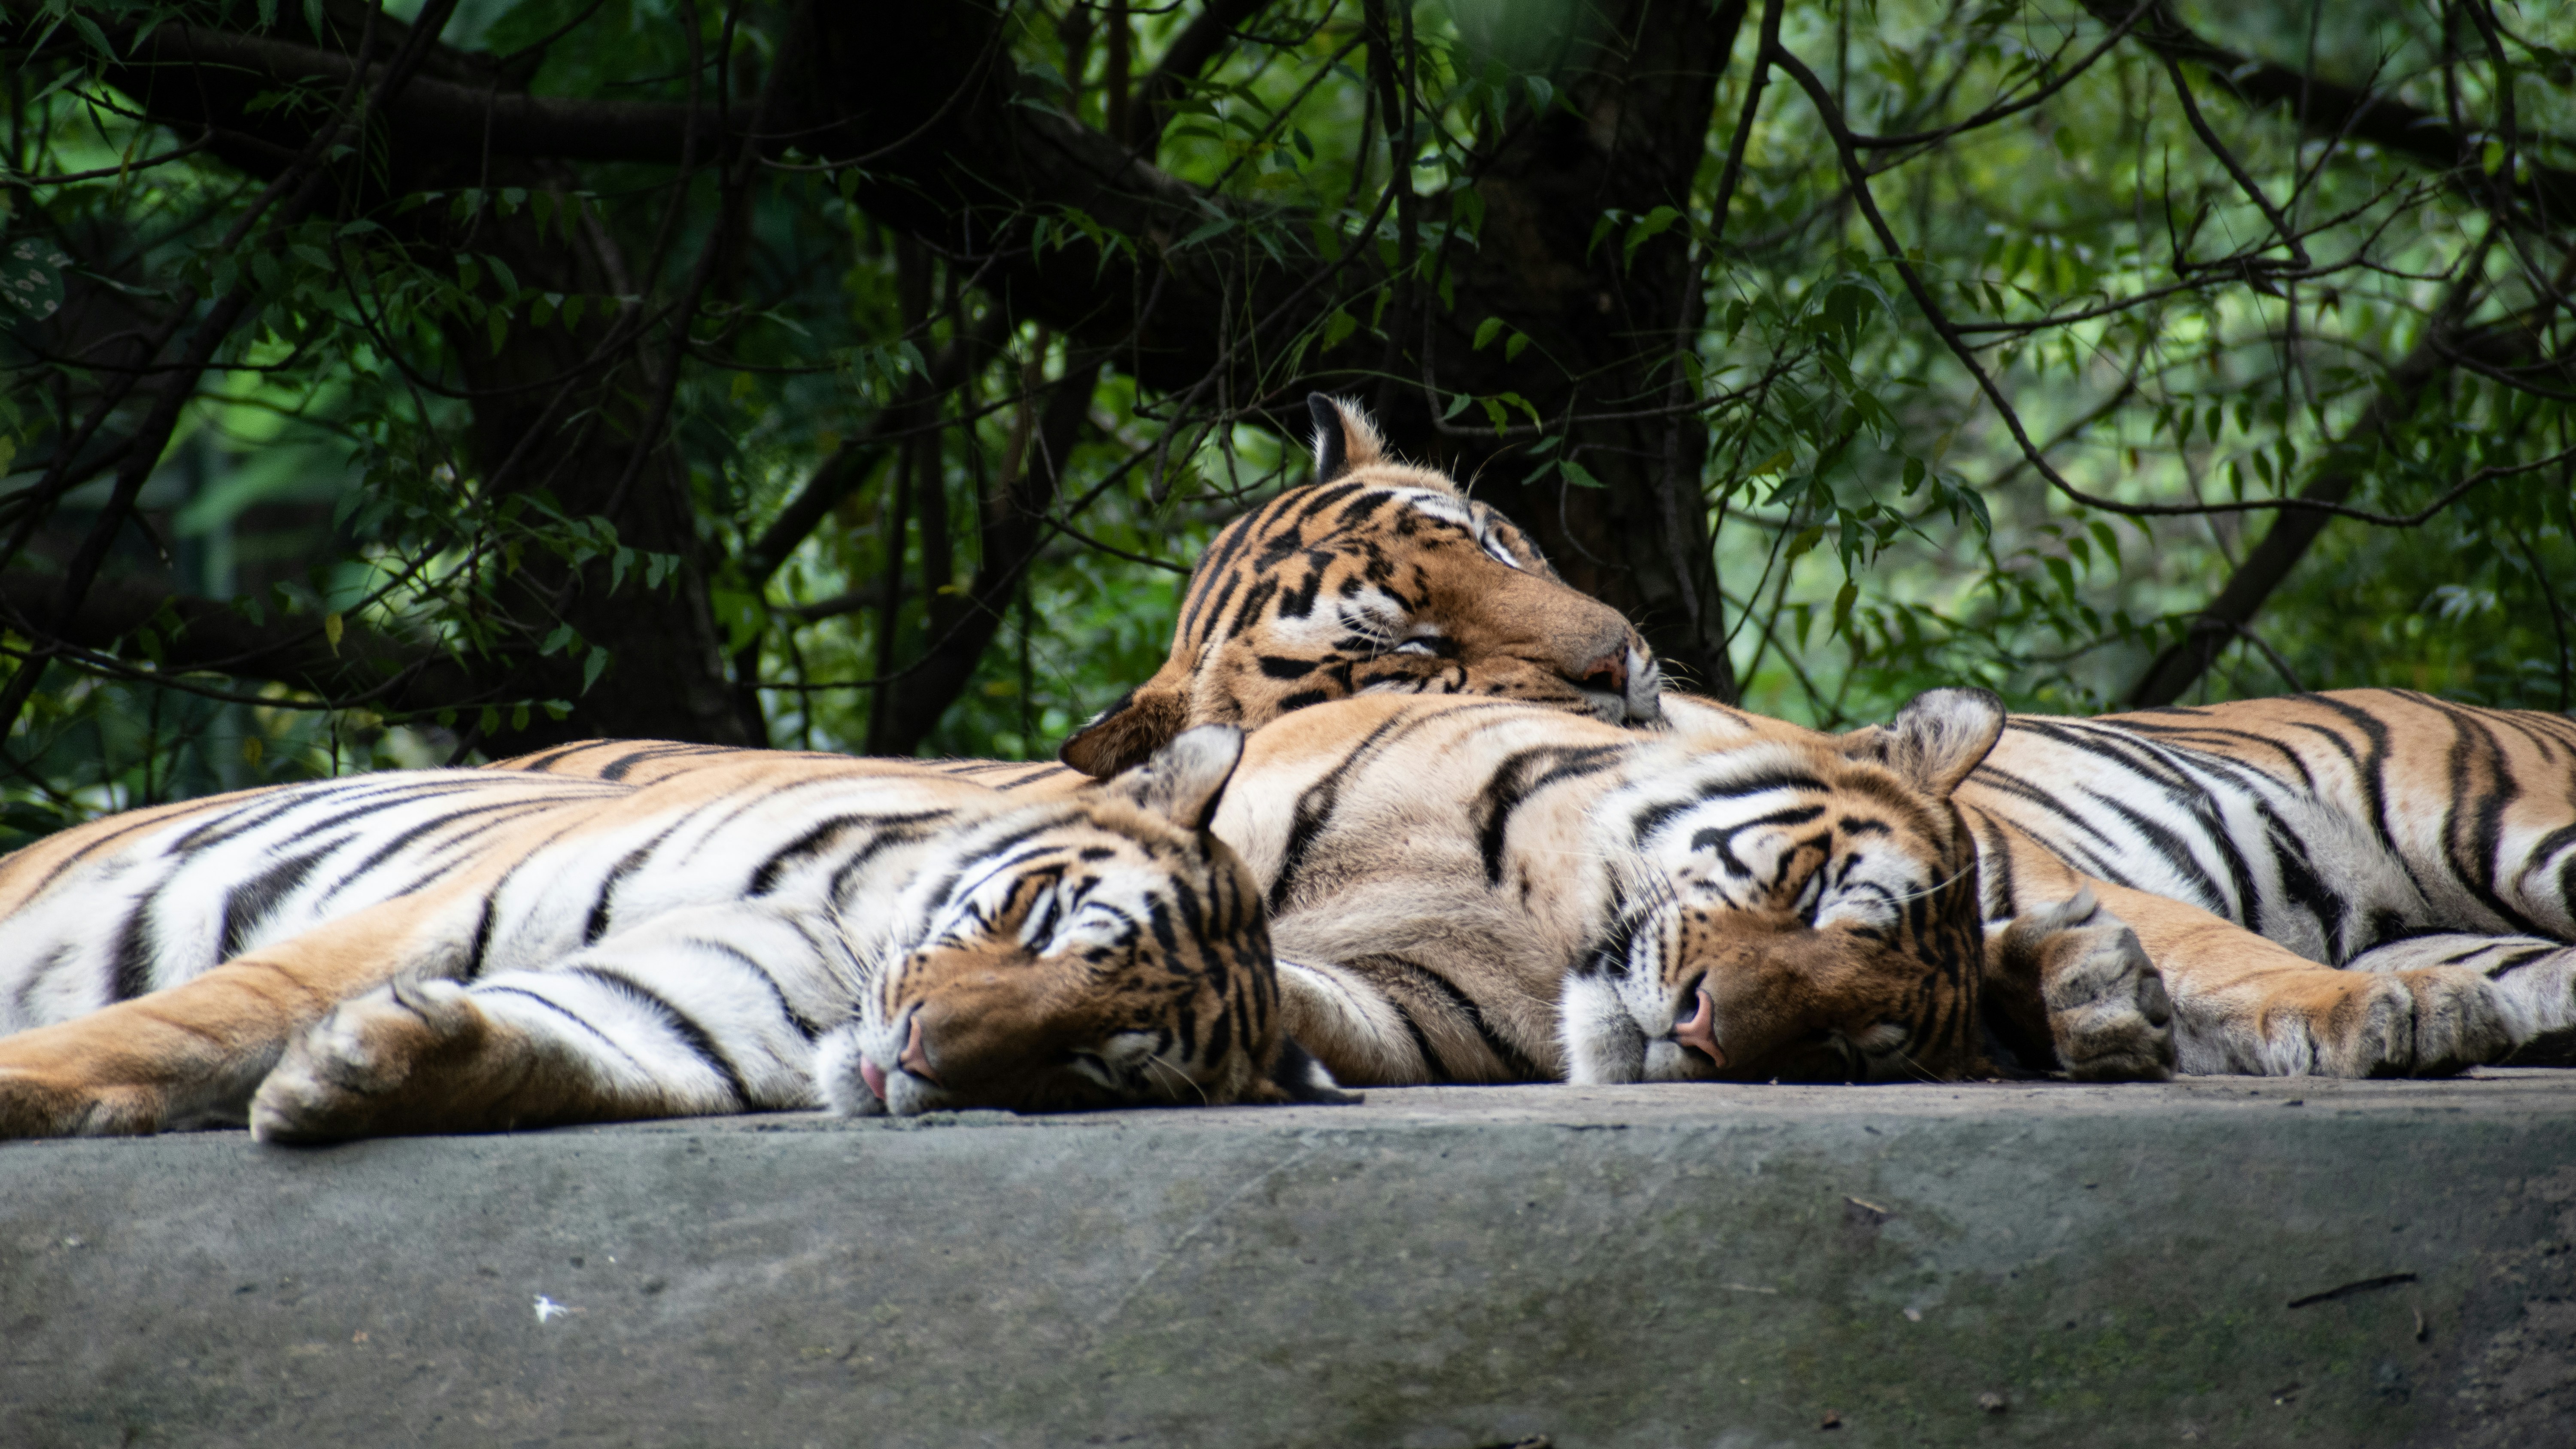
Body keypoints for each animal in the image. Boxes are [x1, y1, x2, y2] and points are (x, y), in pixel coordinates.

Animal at [0, 726, 1354, 1140]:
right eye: (1044, 921)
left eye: (1087, 1066)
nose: (920, 1052)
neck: (841, 956)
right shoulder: (430, 913)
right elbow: (170, 1028)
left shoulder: (683, 1014)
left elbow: (547, 1050)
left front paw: (364, 1070)